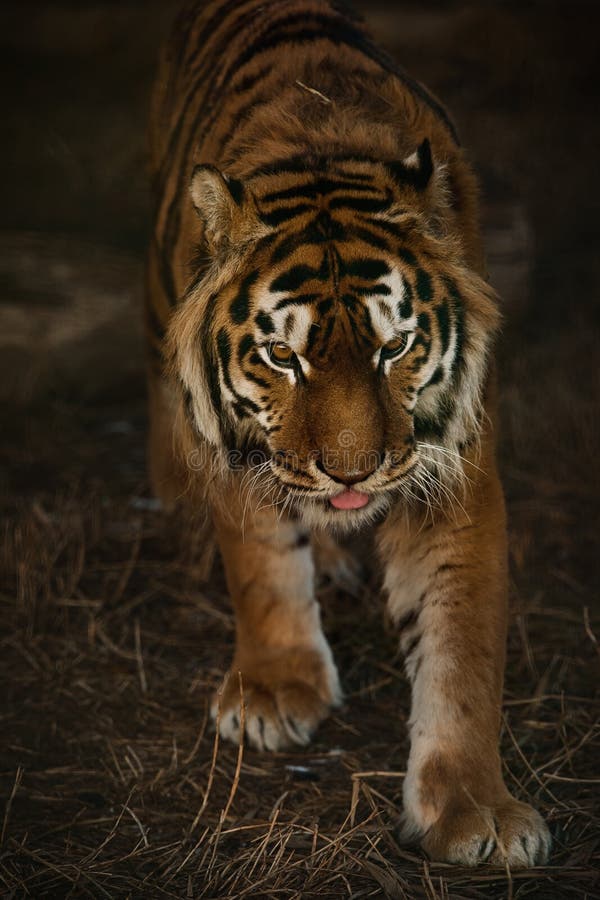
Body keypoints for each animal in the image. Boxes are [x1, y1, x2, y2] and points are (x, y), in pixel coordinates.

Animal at [145, 0, 551, 868]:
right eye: (282, 356)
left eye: (393, 348)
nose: (351, 474)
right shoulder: (242, 447)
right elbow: (262, 566)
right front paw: (274, 692)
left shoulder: (453, 467)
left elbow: (462, 646)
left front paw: (475, 811)